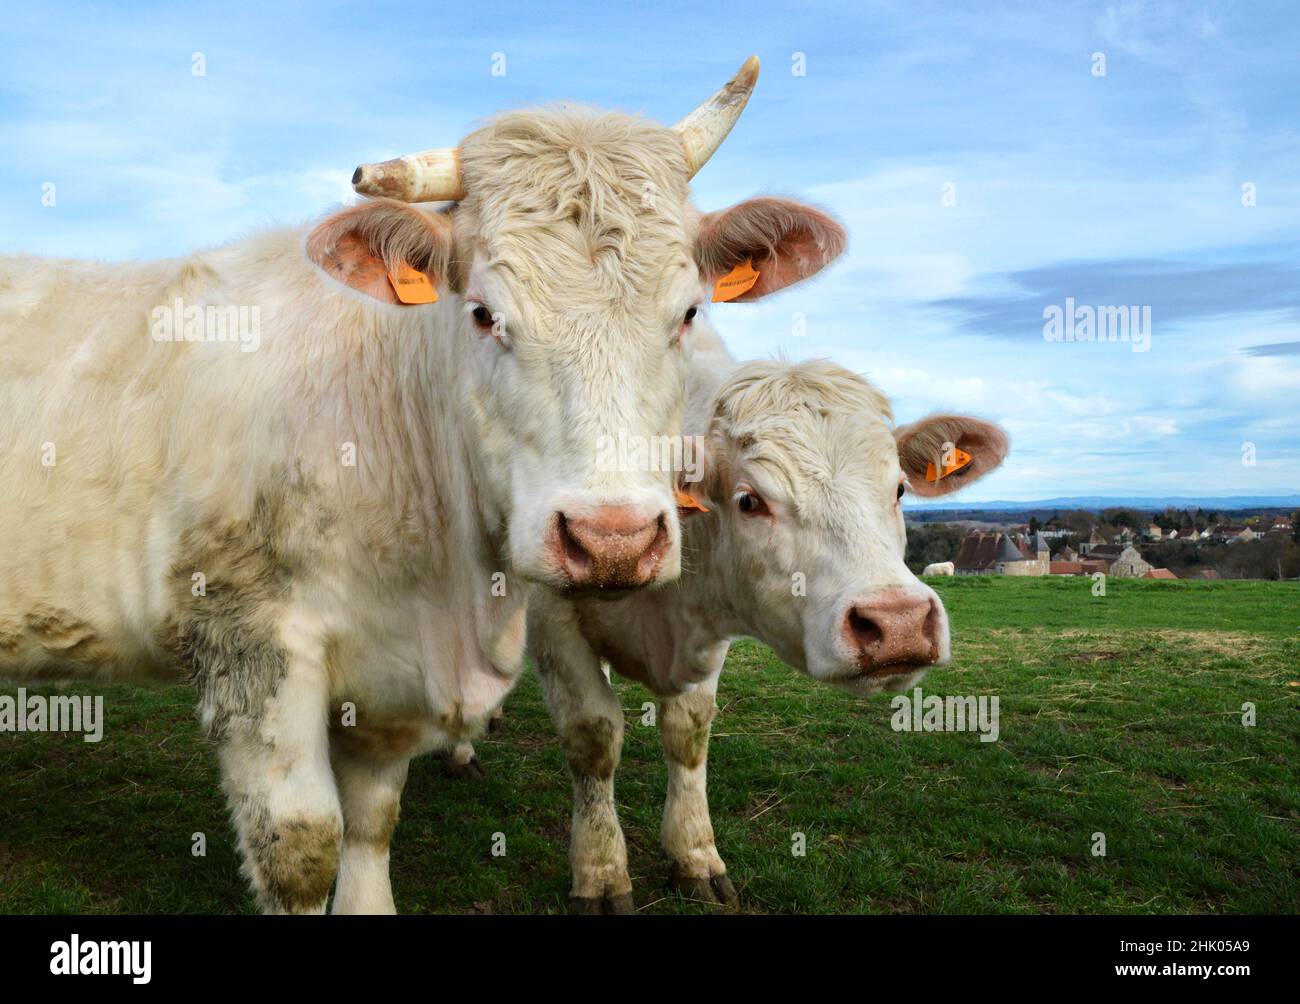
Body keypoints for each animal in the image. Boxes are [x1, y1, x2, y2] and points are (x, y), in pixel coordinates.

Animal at [0, 57, 849, 914]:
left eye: (687, 313)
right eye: (482, 313)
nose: (613, 540)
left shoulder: (389, 681)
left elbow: (371, 822)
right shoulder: (249, 644)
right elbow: (301, 848)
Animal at [520, 323, 1008, 912]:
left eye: (897, 489)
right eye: (749, 501)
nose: (899, 624)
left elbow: (688, 733)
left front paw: (694, 856)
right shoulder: (549, 614)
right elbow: (592, 738)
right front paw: (600, 873)